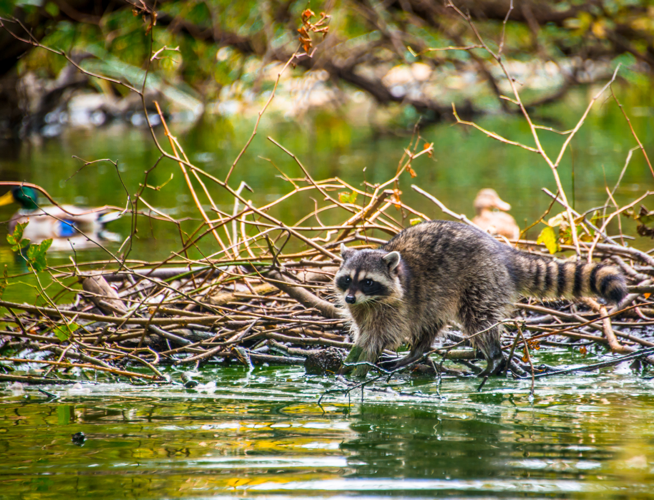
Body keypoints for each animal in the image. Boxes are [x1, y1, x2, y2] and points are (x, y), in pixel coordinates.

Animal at [336, 221, 628, 376]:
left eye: (368, 282)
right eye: (348, 279)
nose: (349, 299)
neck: (369, 301)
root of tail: (503, 254)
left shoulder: (396, 307)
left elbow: (379, 336)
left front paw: (359, 363)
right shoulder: (365, 309)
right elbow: (364, 330)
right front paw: (353, 356)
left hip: (482, 281)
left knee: (480, 321)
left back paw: (494, 359)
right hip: (436, 298)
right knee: (430, 323)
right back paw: (416, 353)